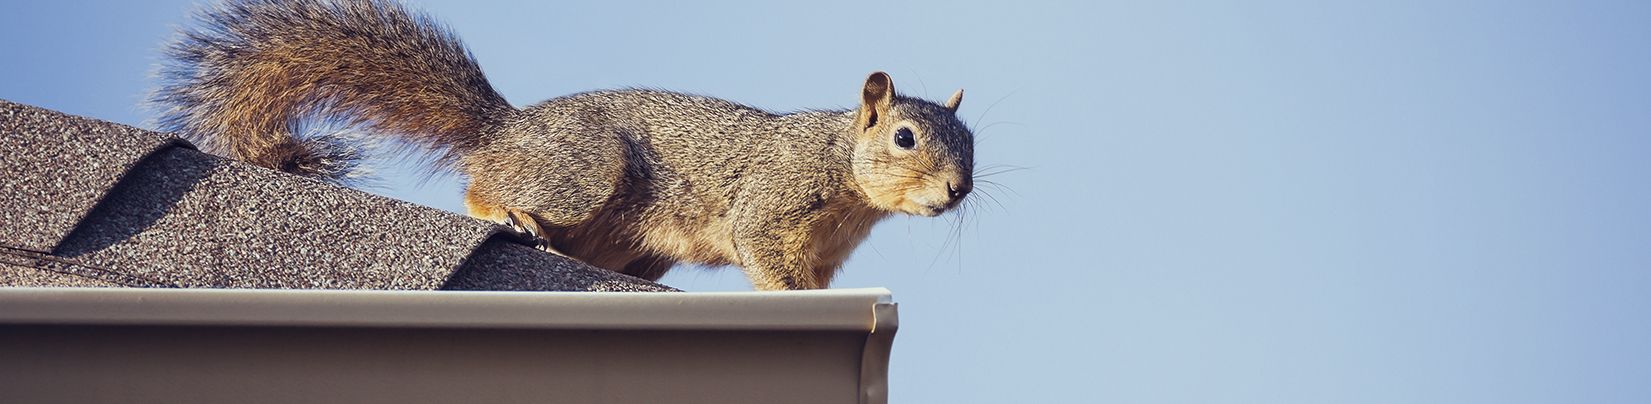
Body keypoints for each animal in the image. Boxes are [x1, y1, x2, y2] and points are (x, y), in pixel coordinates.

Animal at [151, 0, 976, 290]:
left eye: (970, 142)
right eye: (905, 137)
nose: (958, 190)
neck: (846, 178)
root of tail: (507, 129)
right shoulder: (772, 202)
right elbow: (765, 255)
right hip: (582, 173)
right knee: (484, 186)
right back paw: (507, 213)